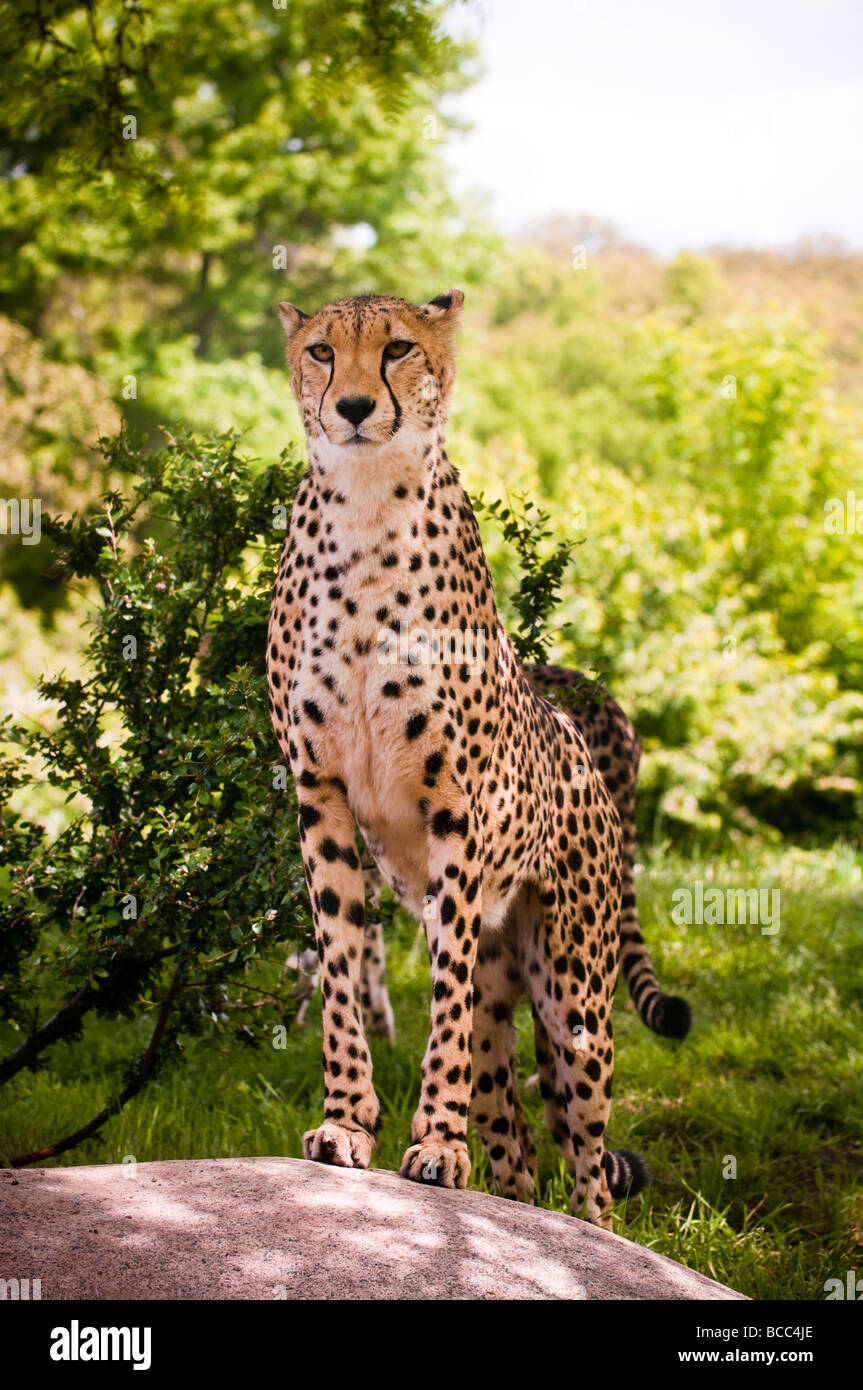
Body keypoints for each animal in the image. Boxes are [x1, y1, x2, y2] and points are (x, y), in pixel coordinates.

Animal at [266, 288, 686, 1224]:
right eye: (319, 351)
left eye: (396, 348)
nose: (354, 407)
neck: (364, 510)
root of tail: (584, 746)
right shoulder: (319, 792)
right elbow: (341, 966)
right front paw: (346, 1123)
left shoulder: (456, 808)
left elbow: (442, 1005)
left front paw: (431, 1142)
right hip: (510, 1011)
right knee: (516, 1141)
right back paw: (502, 1197)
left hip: (574, 996)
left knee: (585, 1154)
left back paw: (581, 1225)